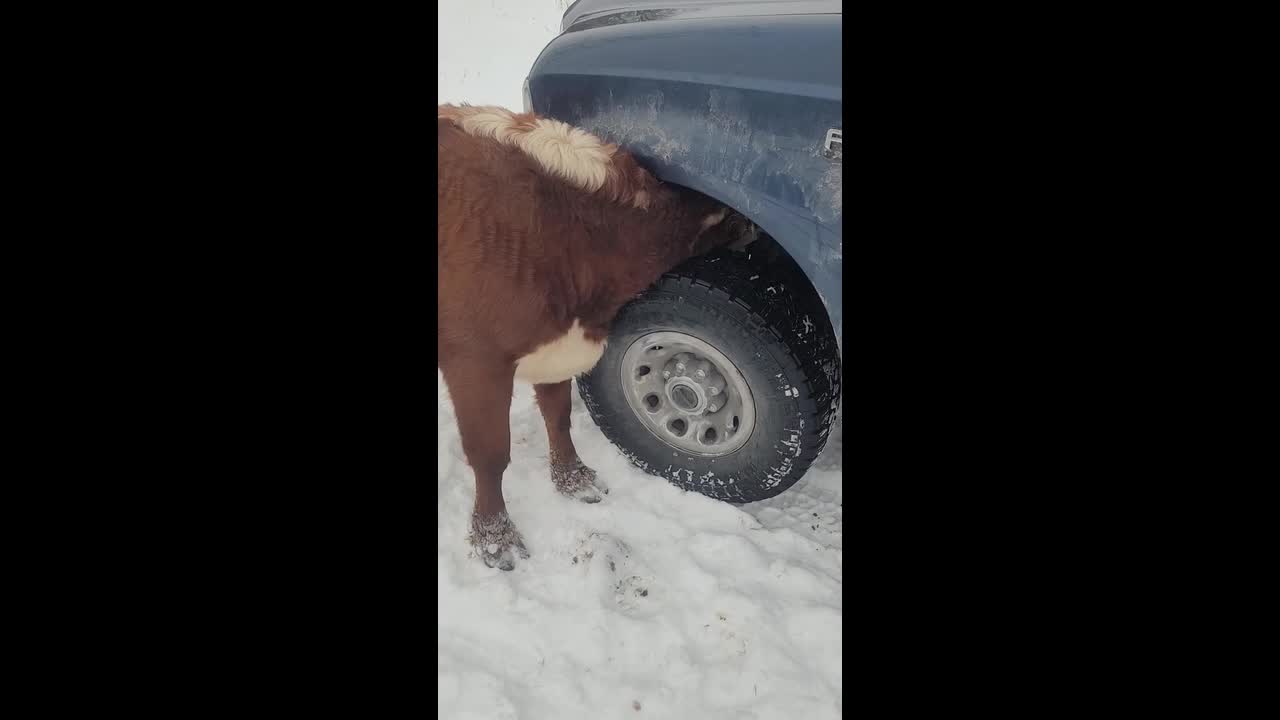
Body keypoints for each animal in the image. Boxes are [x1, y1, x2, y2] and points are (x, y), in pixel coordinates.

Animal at [438, 104, 738, 570]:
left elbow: (558, 415)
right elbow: (490, 453)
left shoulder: (559, 345)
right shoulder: (474, 360)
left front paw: (574, 480)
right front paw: (495, 537)